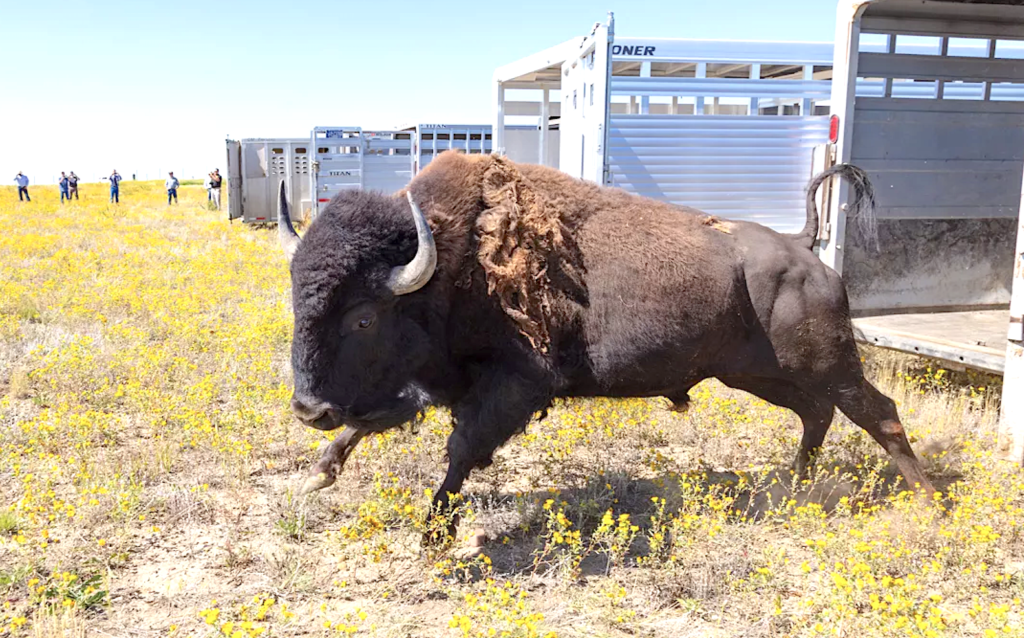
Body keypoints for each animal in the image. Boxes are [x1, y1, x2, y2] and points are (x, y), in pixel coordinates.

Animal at [279, 151, 934, 539]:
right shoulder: (430, 386)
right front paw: (315, 477)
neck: (444, 265)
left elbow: (460, 449)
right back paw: (792, 486)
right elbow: (368, 423)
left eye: (364, 318)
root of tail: (803, 249)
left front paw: (433, 533)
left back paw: (929, 501)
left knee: (877, 412)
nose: (308, 410)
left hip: (828, 365)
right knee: (815, 412)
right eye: (294, 297)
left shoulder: (515, 387)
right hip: (757, 375)